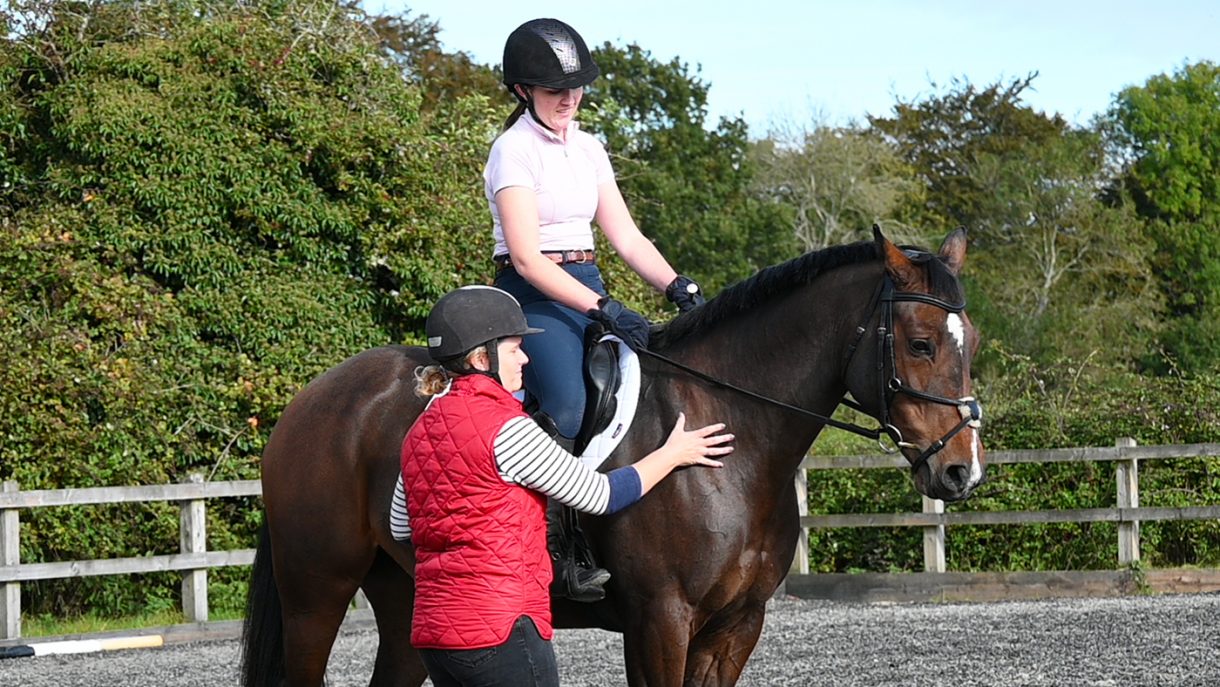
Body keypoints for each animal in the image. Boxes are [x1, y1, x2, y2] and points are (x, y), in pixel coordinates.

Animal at [240, 227, 985, 686]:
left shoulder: (735, 627)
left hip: (403, 599)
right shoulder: (659, 620)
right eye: (920, 343)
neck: (728, 438)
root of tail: (309, 401)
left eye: (969, 340)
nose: (961, 470)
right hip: (315, 593)